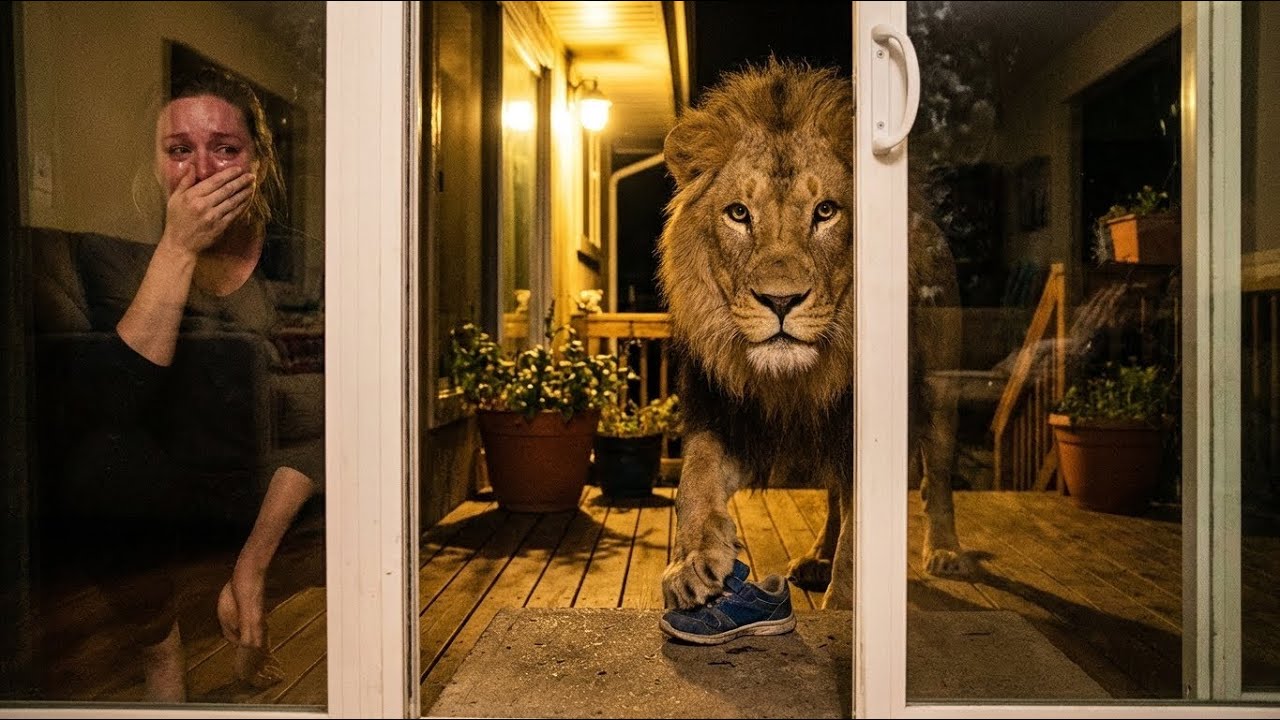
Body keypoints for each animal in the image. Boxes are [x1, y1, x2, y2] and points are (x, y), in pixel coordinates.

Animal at [657, 60, 974, 611]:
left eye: (826, 211)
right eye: (739, 213)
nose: (780, 301)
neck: (795, 383)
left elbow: (860, 534)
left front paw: (846, 606)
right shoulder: (730, 416)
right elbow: (693, 481)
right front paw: (692, 563)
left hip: (939, 393)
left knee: (936, 475)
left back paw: (945, 551)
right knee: (832, 498)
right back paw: (816, 558)